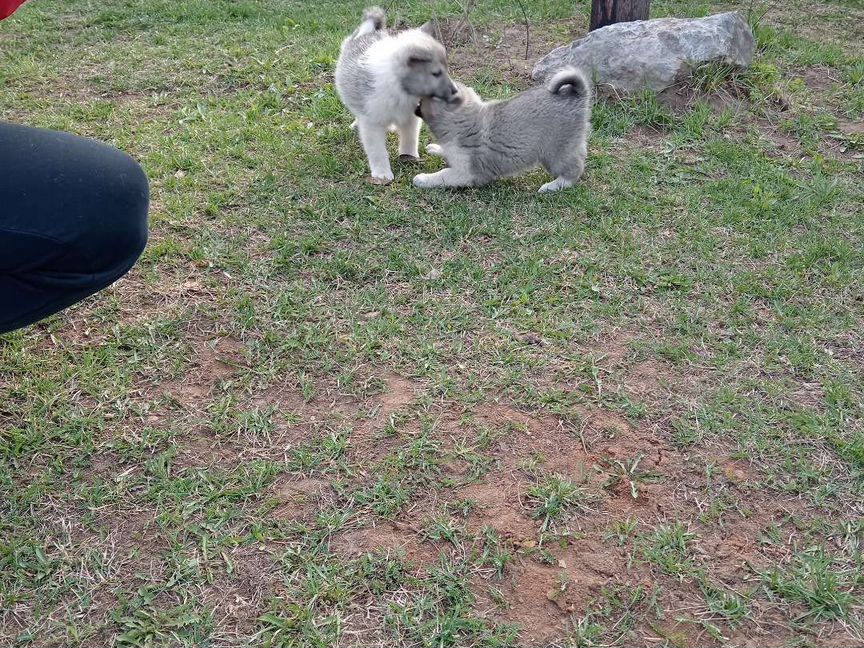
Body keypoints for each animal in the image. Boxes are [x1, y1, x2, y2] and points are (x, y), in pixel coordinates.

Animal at [336, 7, 460, 185]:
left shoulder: (411, 118)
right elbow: (377, 151)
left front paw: (409, 156)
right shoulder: (371, 124)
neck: (400, 88)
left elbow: (410, 139)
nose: (455, 90)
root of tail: (368, 32)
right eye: (436, 74)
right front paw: (382, 173)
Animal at [414, 68, 592, 191]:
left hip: (554, 155)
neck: (461, 120)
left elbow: (442, 175)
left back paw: (553, 186)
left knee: (573, 171)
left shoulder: (465, 173)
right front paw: (436, 148)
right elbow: (446, 152)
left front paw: (423, 179)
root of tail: (577, 95)